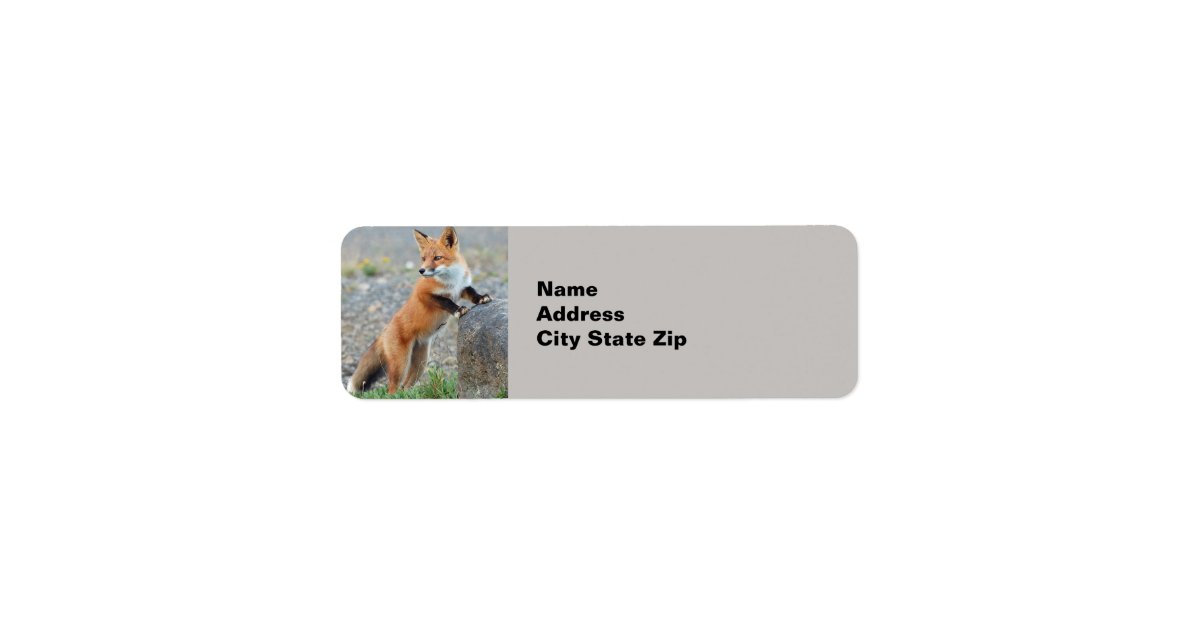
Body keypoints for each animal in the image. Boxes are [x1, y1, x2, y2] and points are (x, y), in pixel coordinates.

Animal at [347, 227, 492, 395]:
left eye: (437, 257)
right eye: (423, 258)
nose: (421, 270)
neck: (451, 281)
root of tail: (385, 330)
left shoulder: (462, 288)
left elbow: (473, 293)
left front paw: (482, 298)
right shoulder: (422, 293)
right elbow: (446, 301)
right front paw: (458, 310)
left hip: (421, 363)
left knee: (405, 386)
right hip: (401, 364)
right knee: (392, 389)